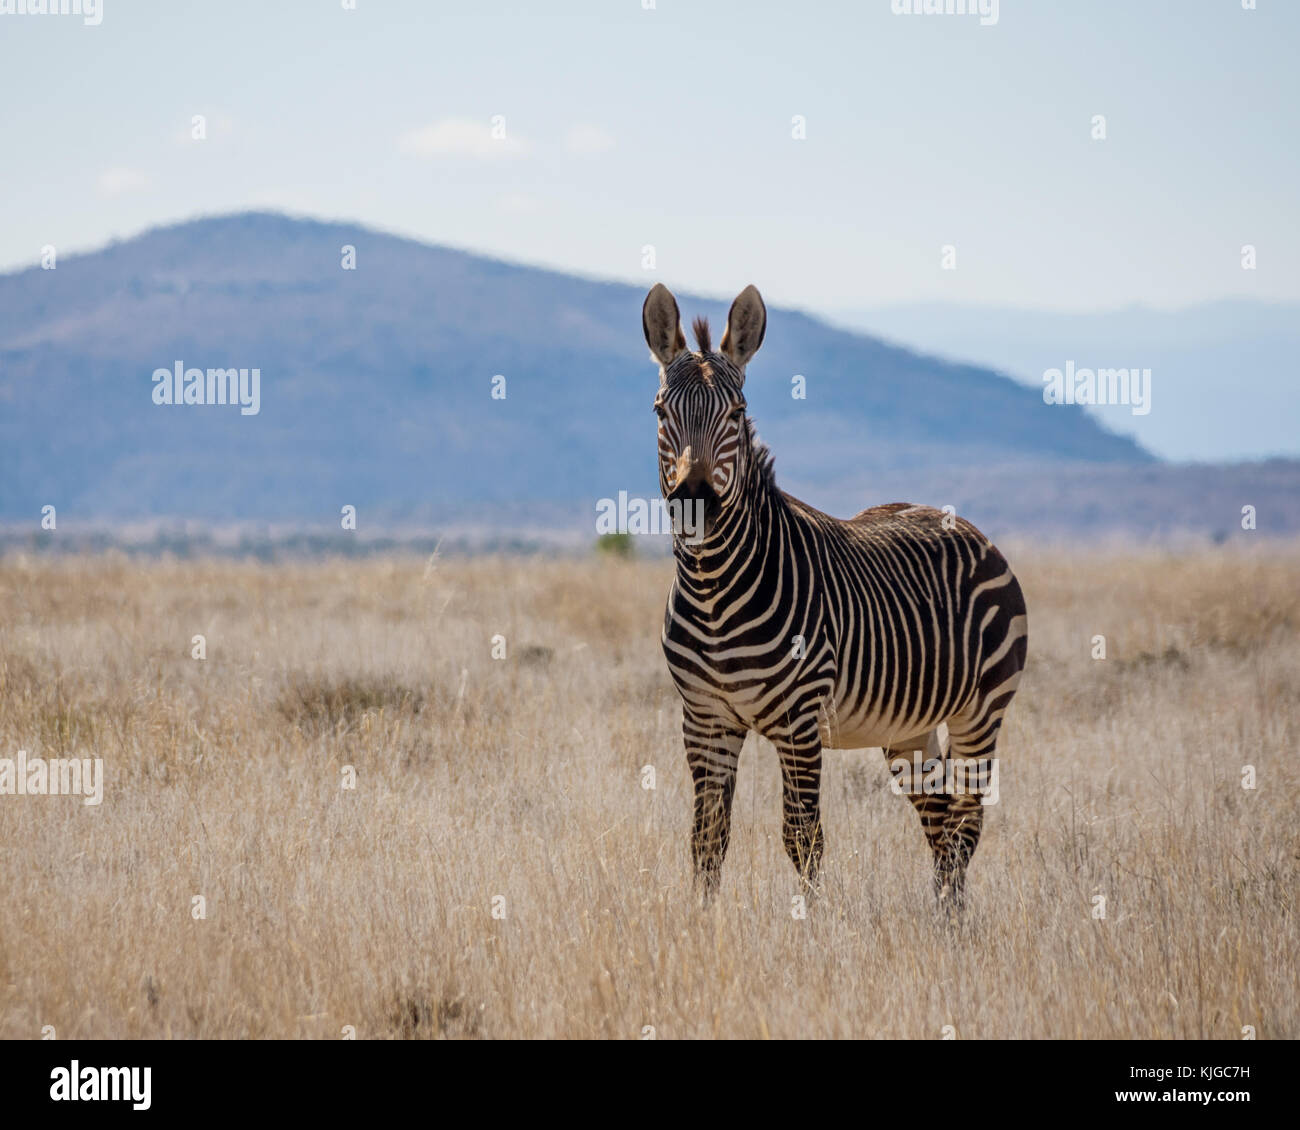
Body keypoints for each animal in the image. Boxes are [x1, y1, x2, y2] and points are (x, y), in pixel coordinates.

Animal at [642, 282, 1029, 908]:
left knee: (967, 821)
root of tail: (962, 522)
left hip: (981, 711)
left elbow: (802, 838)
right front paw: (701, 921)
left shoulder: (799, 721)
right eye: (660, 411)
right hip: (908, 726)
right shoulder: (704, 719)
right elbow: (706, 838)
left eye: (737, 414)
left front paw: (810, 924)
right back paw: (944, 917)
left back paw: (954, 921)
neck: (714, 590)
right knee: (941, 820)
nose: (695, 499)